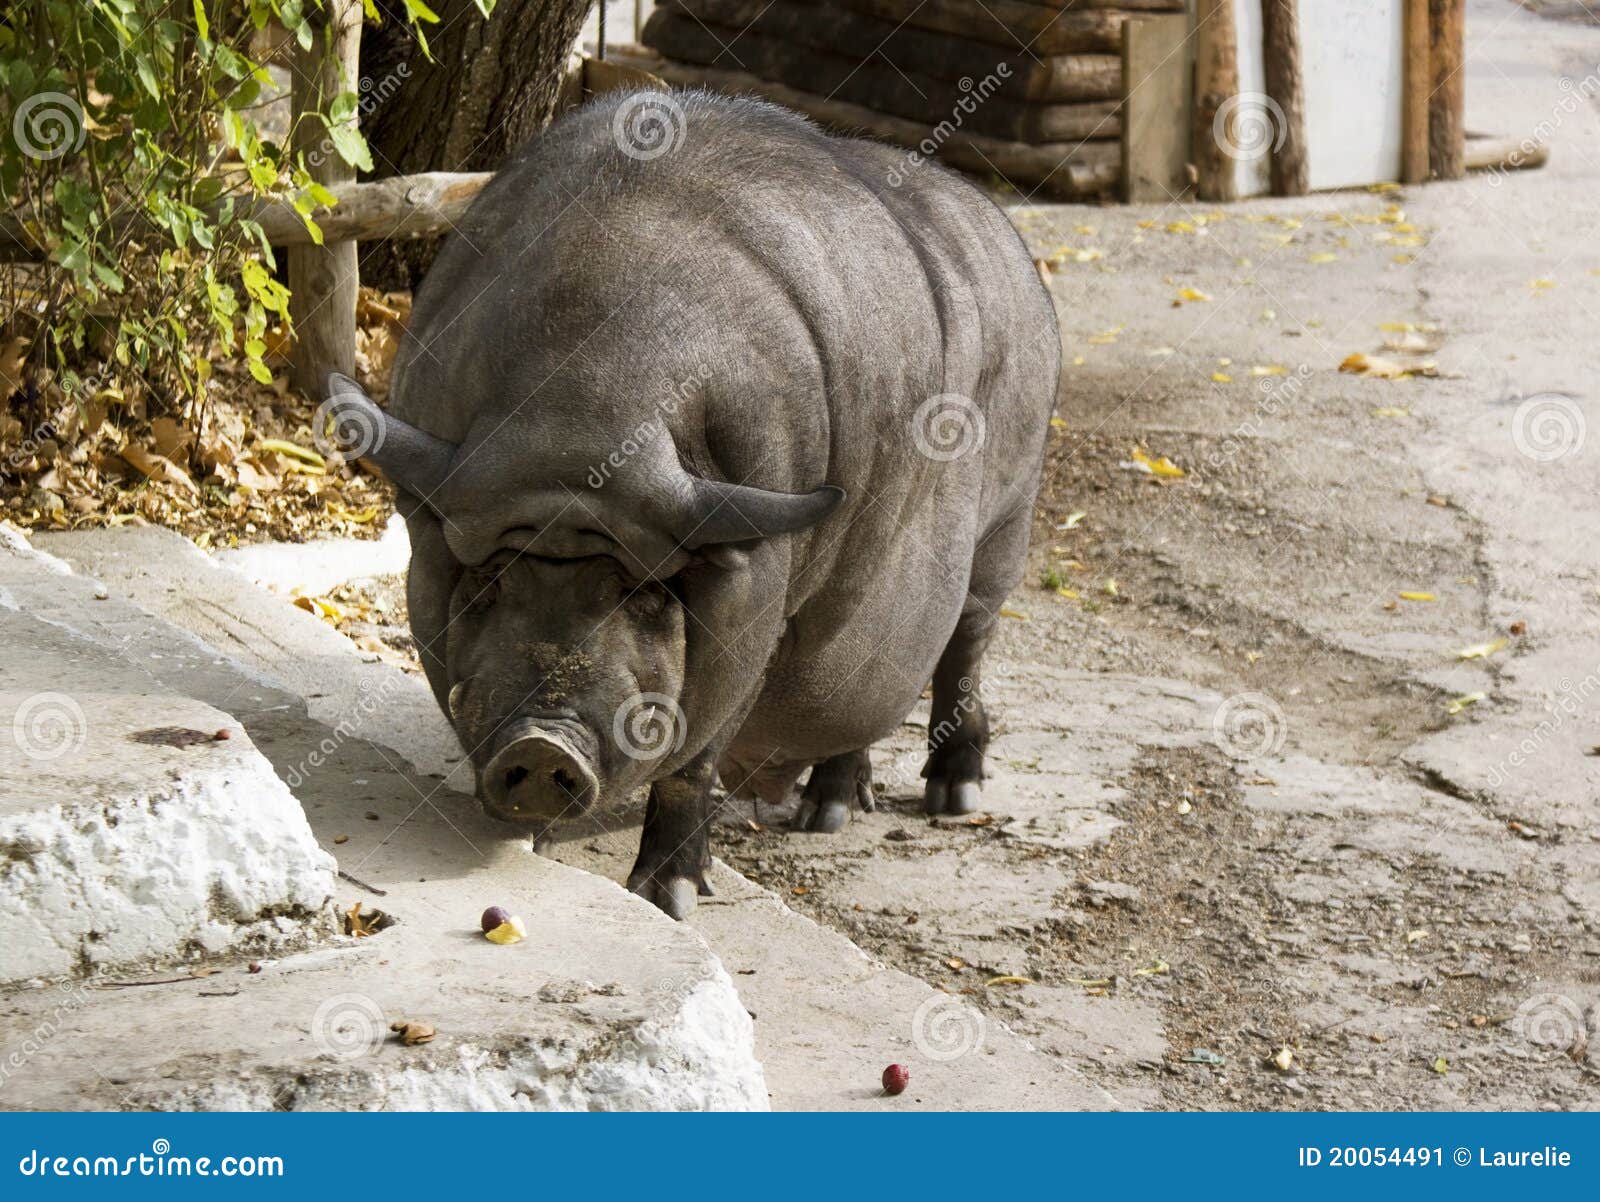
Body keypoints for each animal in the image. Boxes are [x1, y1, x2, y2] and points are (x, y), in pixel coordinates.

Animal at [323, 89, 1058, 918]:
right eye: (490, 577)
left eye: (643, 592)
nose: (541, 746)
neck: (577, 416)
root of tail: (1007, 236)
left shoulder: (756, 595)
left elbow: (694, 759)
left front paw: (667, 901)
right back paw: (828, 813)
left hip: (1009, 519)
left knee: (964, 646)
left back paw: (951, 799)